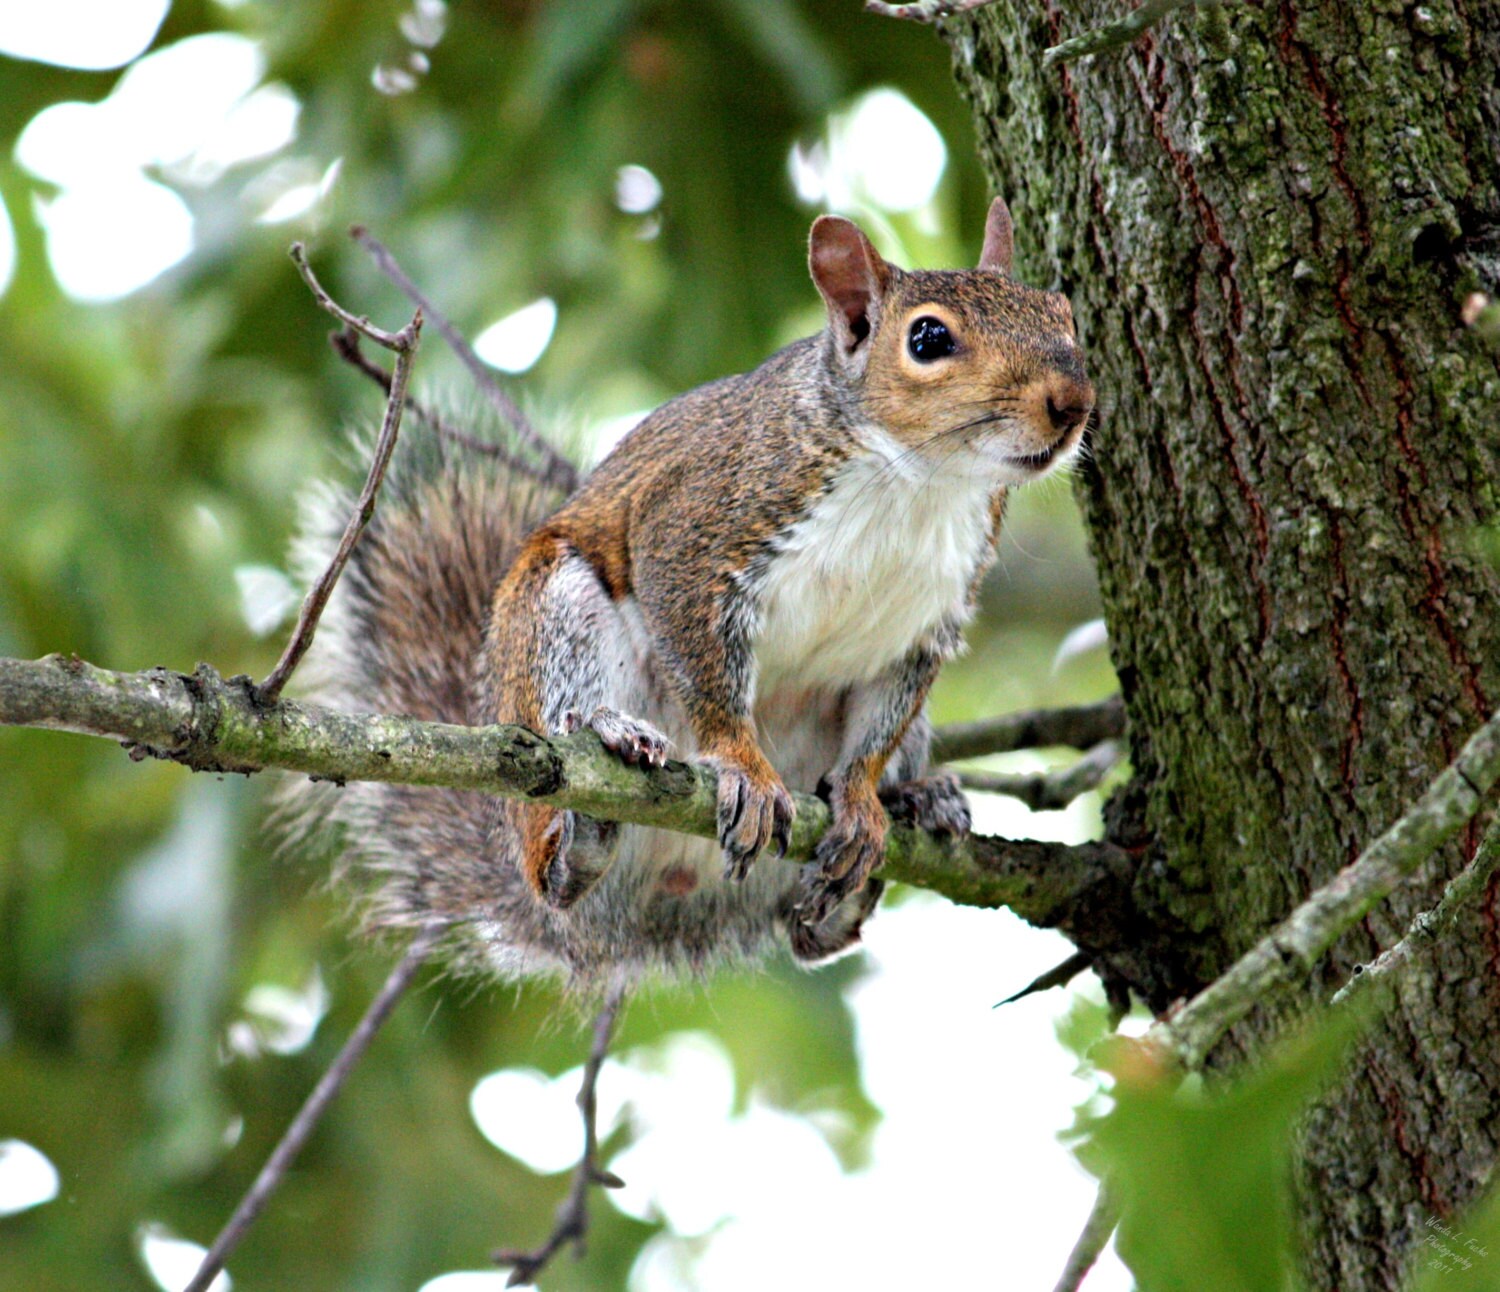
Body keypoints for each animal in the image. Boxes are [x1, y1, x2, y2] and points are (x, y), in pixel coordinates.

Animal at [287, 196, 1094, 985]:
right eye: (927, 338)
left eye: (1065, 315)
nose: (1073, 401)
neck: (921, 481)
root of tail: (657, 906)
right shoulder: (695, 534)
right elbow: (707, 671)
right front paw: (743, 765)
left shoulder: (925, 624)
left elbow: (879, 725)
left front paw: (865, 800)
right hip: (556, 622)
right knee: (554, 862)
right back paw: (597, 783)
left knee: (810, 935)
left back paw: (912, 811)